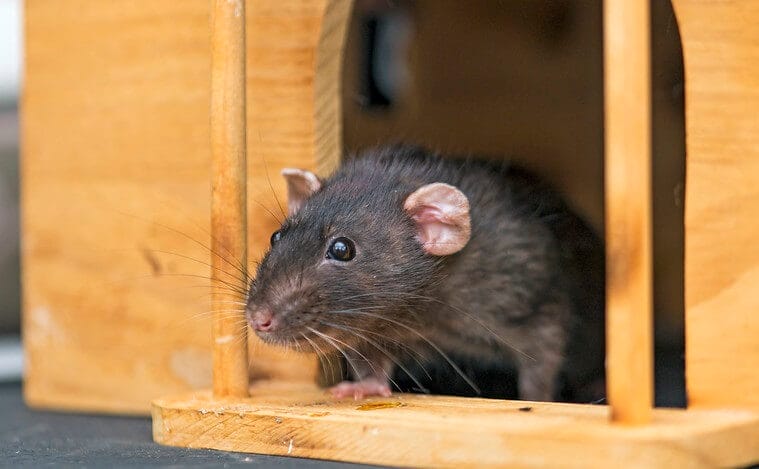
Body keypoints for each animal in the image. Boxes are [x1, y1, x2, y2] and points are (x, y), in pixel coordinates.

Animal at [246, 145, 605, 402]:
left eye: (342, 249)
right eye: (276, 237)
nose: (259, 318)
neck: (423, 316)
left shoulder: (523, 282)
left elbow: (545, 345)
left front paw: (537, 398)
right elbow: (370, 358)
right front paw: (365, 385)